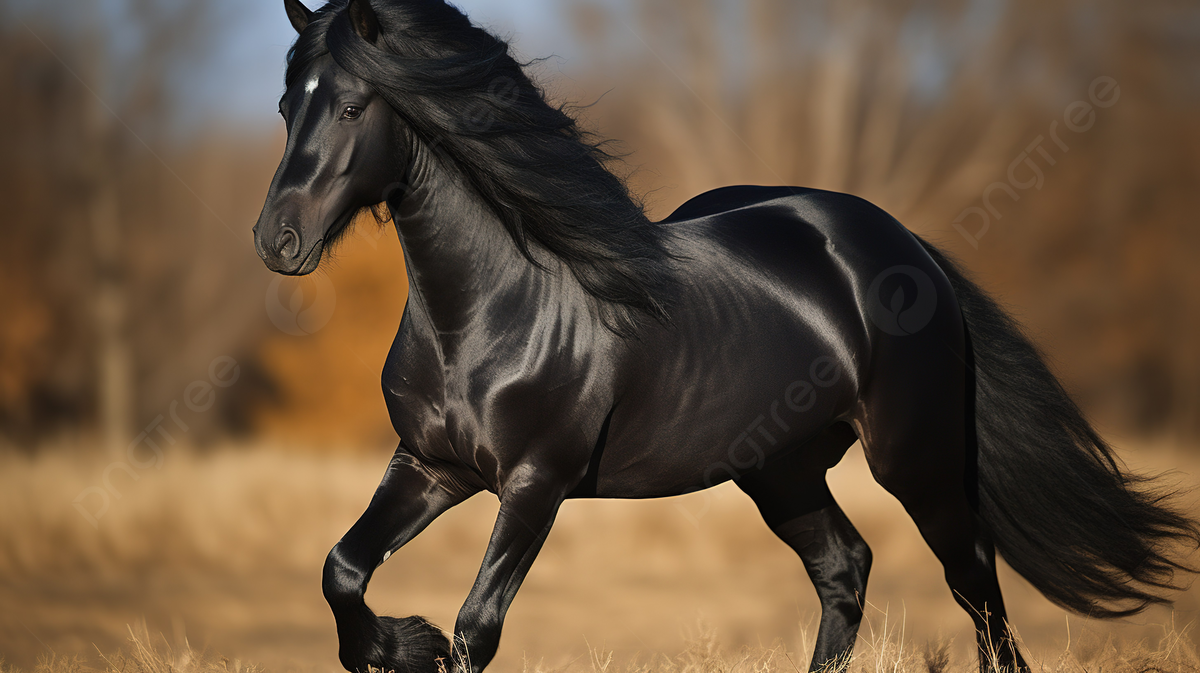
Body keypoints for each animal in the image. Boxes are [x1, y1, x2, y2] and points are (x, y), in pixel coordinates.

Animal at [253, 1, 1198, 671]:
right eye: (286, 103)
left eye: (349, 106)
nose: (276, 241)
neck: (494, 312)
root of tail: (902, 243)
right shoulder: (431, 466)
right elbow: (343, 568)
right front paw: (396, 643)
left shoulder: (534, 484)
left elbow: (477, 624)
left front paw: (419, 639)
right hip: (781, 470)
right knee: (846, 567)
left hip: (915, 457)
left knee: (973, 577)